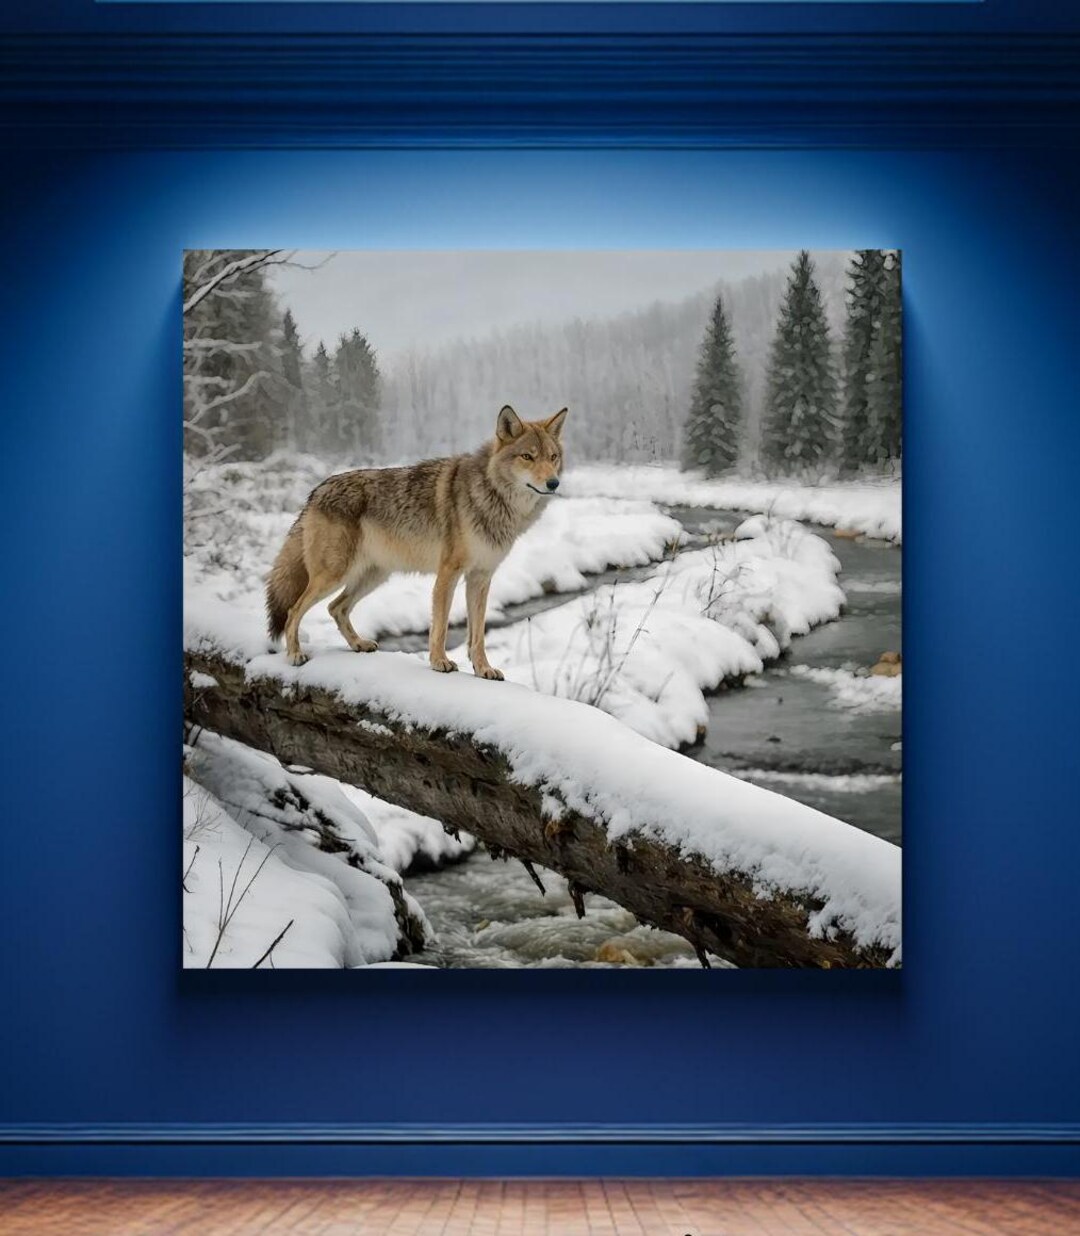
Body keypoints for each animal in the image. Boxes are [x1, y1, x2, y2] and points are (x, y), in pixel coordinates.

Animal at [266, 405, 568, 678]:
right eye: (528, 456)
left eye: (553, 457)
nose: (553, 483)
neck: (491, 496)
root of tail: (315, 491)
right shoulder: (448, 574)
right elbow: (441, 626)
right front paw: (439, 662)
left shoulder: (480, 577)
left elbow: (477, 635)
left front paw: (483, 669)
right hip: (334, 575)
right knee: (293, 610)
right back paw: (294, 654)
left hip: (373, 576)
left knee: (335, 607)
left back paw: (358, 644)